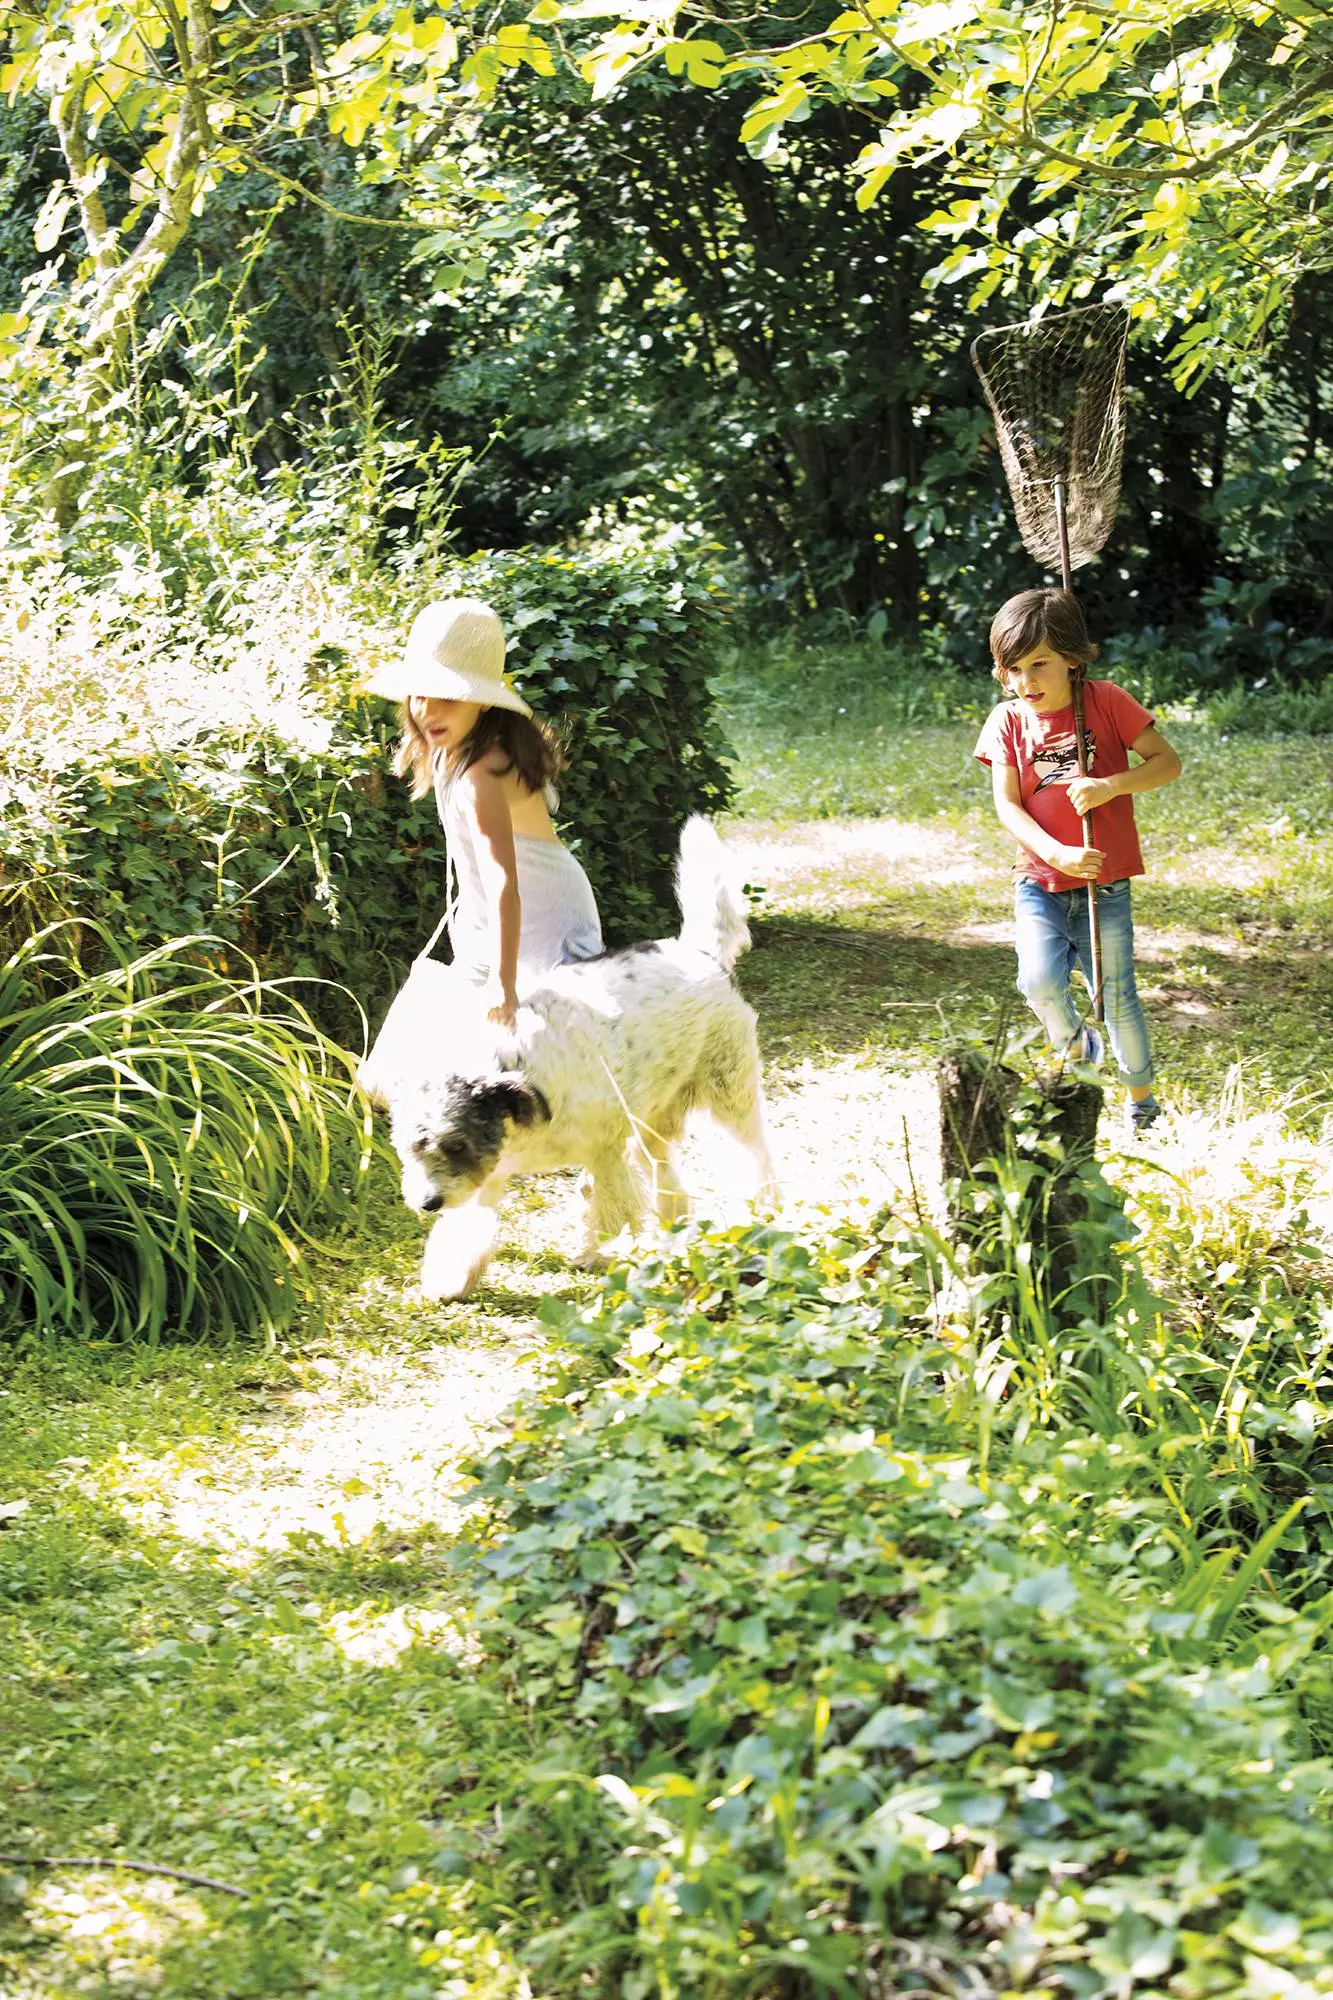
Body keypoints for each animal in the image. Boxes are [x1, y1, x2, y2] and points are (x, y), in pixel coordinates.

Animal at [364, 820, 780, 1304]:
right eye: (413, 1148)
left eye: (456, 1145)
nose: (427, 1203)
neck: (523, 1077)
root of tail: (700, 953)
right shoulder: (489, 1176)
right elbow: (467, 1228)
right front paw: (450, 1278)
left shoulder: (607, 1156)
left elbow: (613, 1218)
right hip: (655, 1119)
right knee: (671, 1182)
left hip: (730, 1095)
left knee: (757, 1155)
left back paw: (763, 1213)